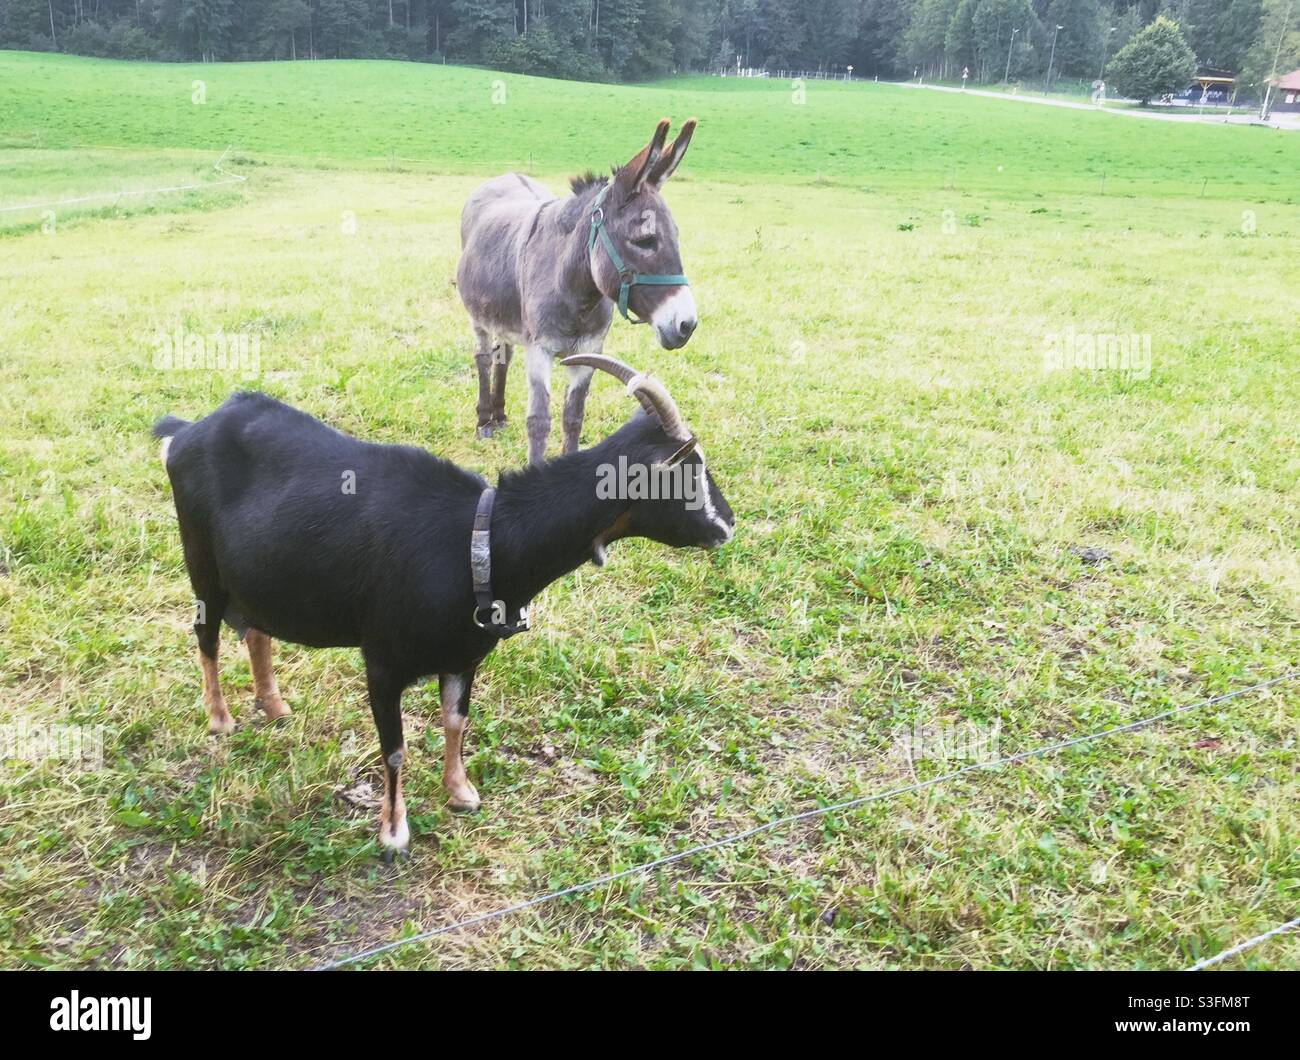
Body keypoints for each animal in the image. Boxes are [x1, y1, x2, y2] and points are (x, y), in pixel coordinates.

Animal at [153, 357, 734, 857]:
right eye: (688, 472)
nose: (727, 524)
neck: (481, 539)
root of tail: (187, 430)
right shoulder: (382, 662)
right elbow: (394, 748)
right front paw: (393, 832)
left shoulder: (462, 657)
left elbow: (456, 721)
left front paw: (461, 792)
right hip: (200, 558)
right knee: (206, 633)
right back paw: (220, 719)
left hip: (259, 573)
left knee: (256, 629)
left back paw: (274, 706)